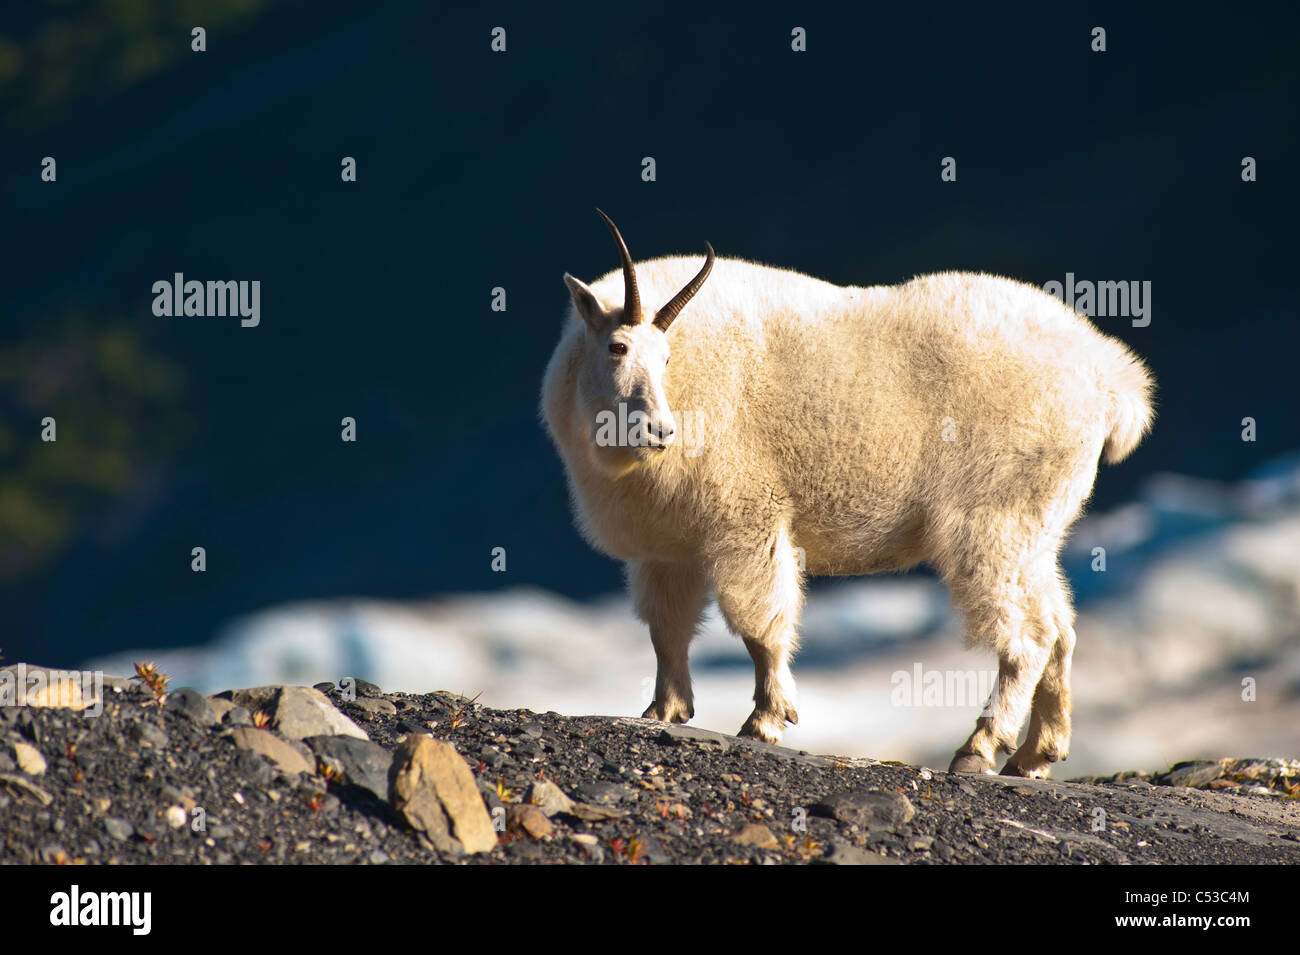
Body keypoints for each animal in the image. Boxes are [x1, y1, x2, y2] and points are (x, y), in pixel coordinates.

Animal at [541, 211, 1154, 776]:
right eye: (618, 347)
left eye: (666, 357)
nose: (661, 432)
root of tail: (1113, 384)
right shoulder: (667, 546)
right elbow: (666, 628)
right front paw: (662, 711)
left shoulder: (747, 519)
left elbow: (759, 622)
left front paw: (767, 719)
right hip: (1035, 529)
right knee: (1059, 626)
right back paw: (1037, 754)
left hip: (994, 521)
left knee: (1026, 637)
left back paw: (979, 750)